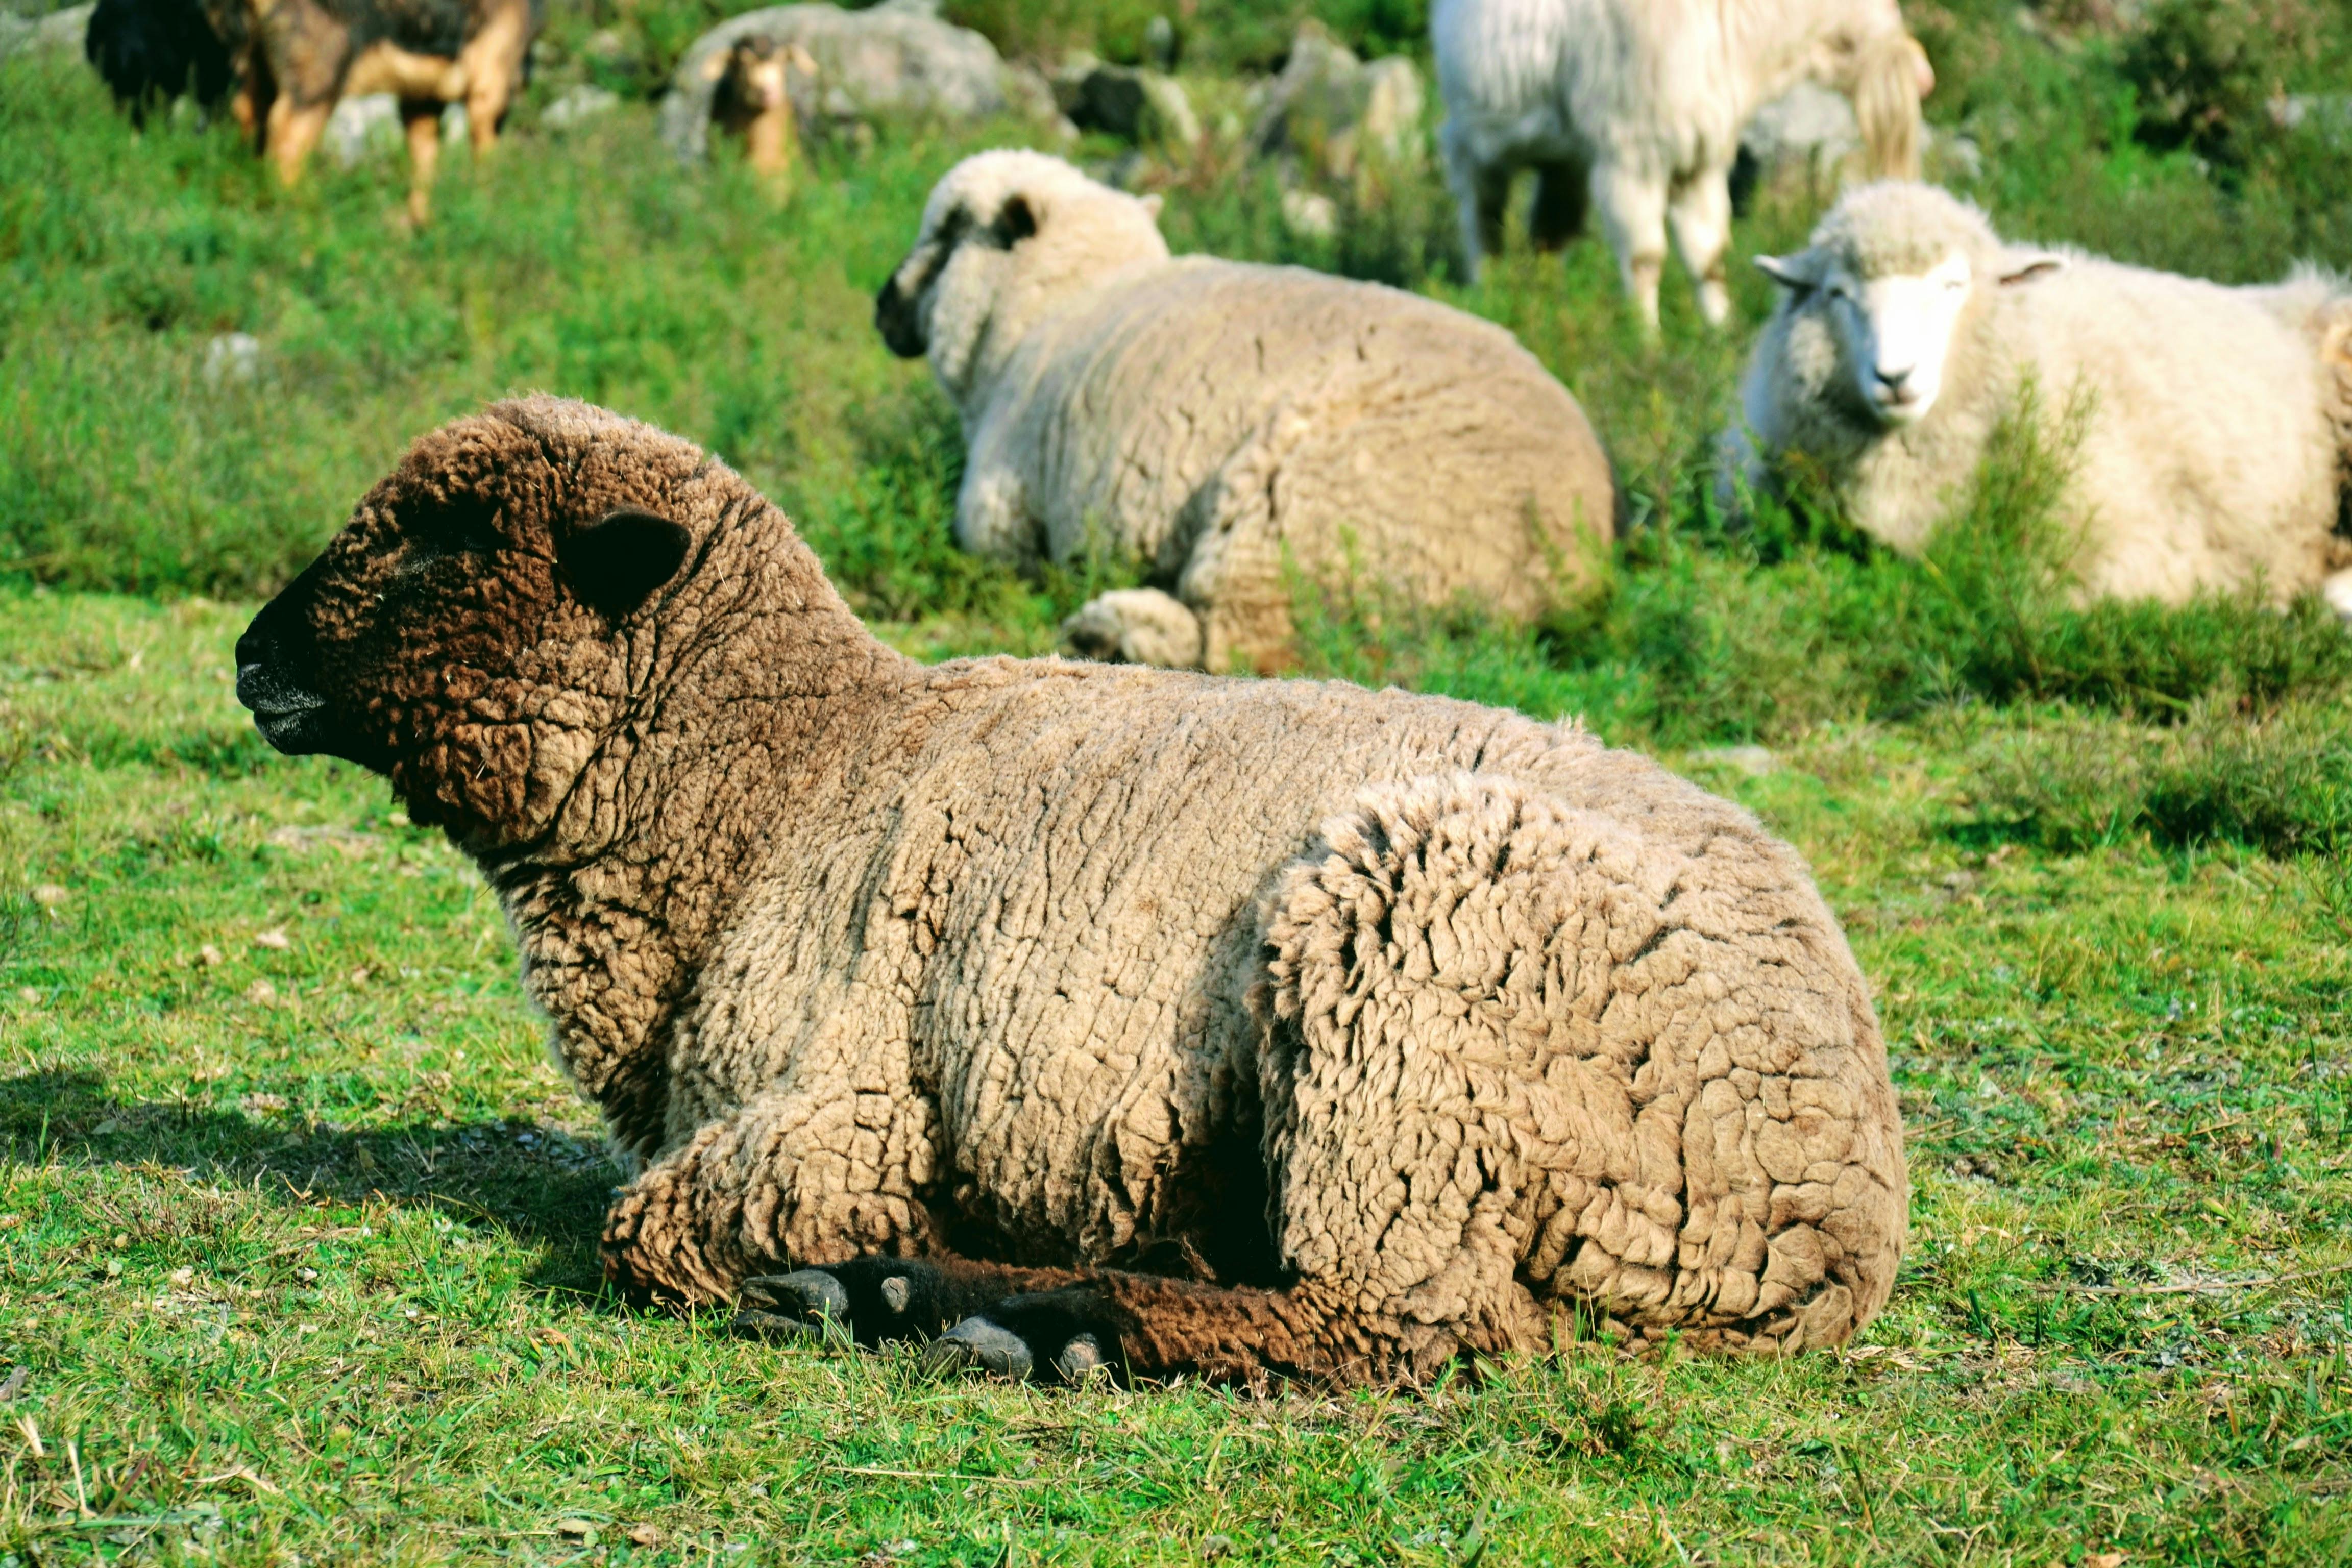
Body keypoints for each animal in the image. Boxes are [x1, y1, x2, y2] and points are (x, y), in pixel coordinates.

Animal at [234, 395, 1910, 1387]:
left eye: (439, 539)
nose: (249, 658)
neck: (776, 785)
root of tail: (1838, 1207)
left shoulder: (847, 1097)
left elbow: (646, 1226)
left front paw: (862, 1253)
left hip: (1414, 990)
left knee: (1399, 1318)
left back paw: (1000, 1314)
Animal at [873, 150, 1620, 674]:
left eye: (947, 232)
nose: (882, 307)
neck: (1057, 302)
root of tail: (1573, 552)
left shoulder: (999, 515)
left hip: (1288, 515)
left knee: (1244, 649)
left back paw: (1114, 629)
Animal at [1431, 0, 1934, 330]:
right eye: (1847, 42)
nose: (1925, 79)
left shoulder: (1699, 159)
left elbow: (1707, 253)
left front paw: (1721, 329)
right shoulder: (1631, 157)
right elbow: (1645, 258)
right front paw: (1646, 340)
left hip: (1562, 160)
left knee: (1549, 232)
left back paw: (1544, 301)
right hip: (1476, 138)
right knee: (1482, 217)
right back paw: (1488, 293)